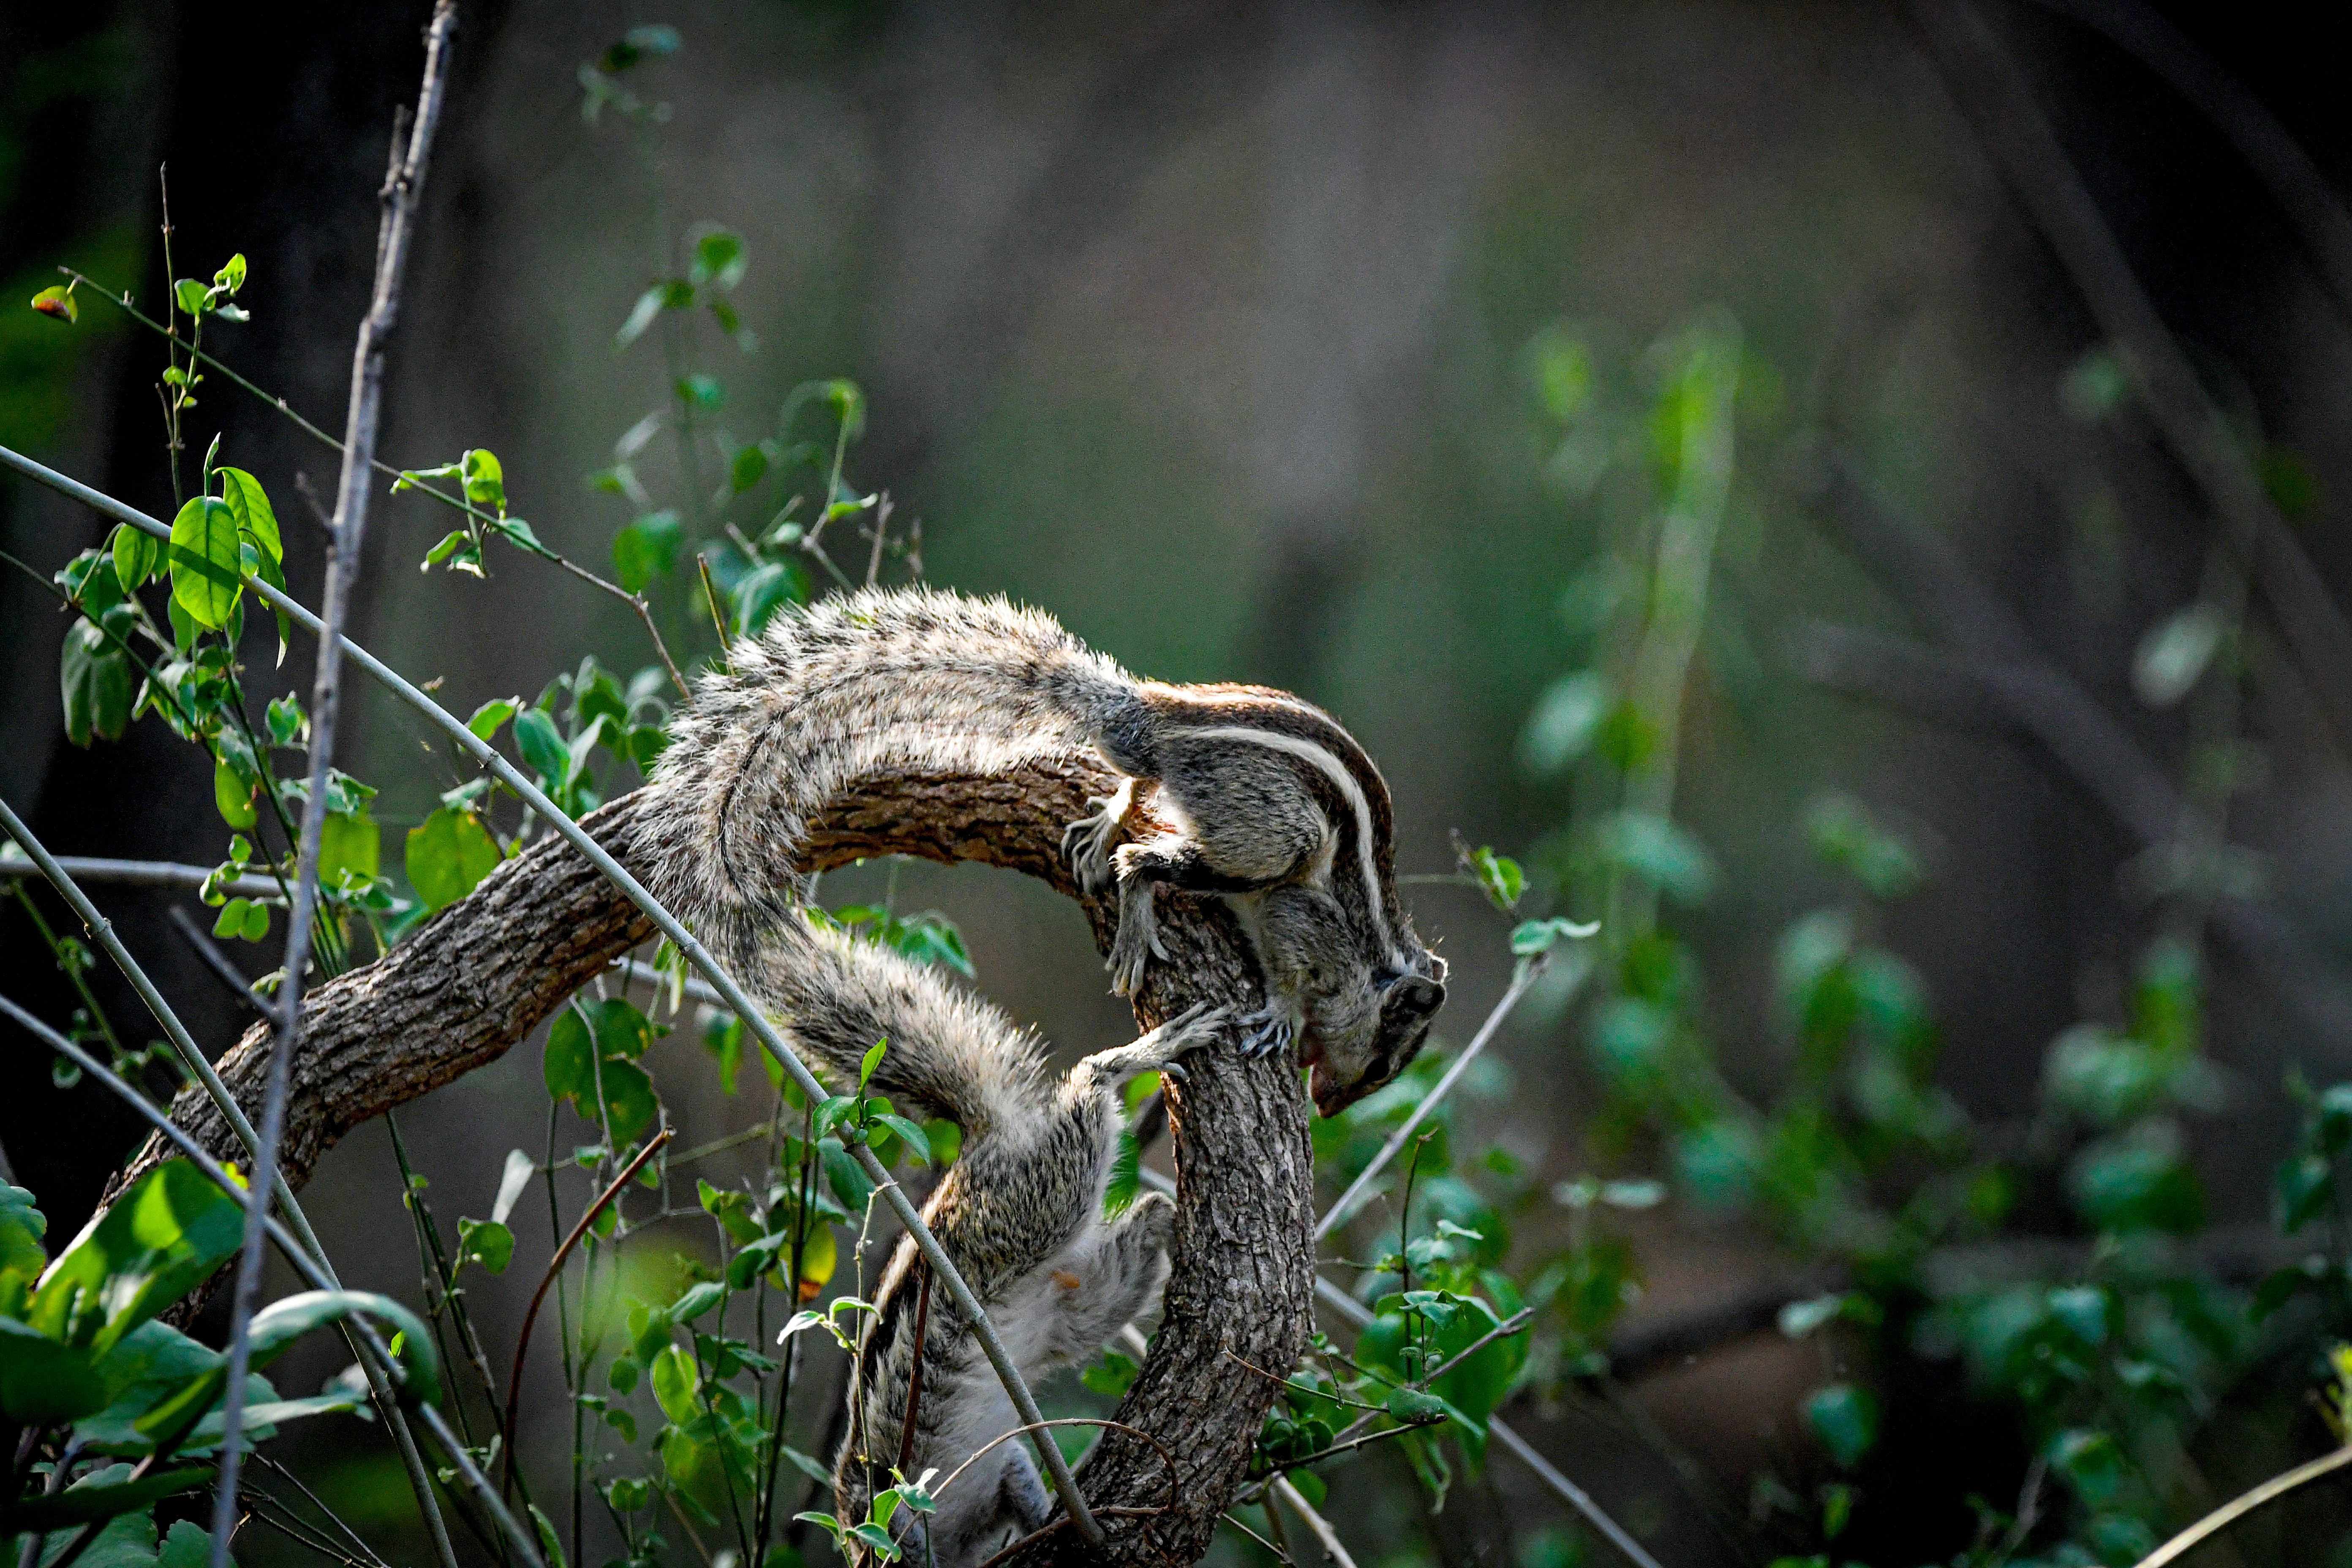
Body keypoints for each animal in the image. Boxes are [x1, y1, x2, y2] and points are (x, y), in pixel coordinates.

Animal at [643, 585, 1447, 1115]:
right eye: (1386, 1058)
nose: (1329, 1104)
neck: (1374, 960)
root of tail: (1158, 718)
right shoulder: (1305, 918)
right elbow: (1284, 957)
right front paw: (1281, 1011)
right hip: (1271, 834)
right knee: (1143, 862)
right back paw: (1134, 915)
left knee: (1137, 780)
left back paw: (1108, 821)